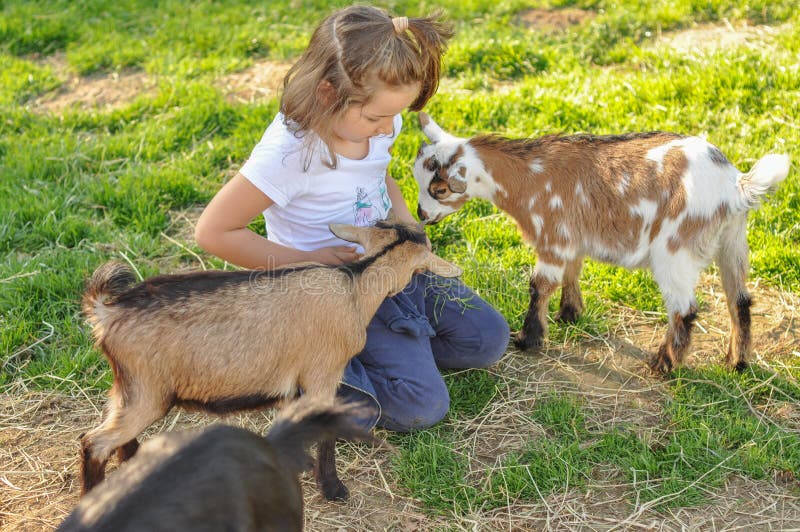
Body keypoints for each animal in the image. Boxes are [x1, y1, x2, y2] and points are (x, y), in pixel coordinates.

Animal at [79, 219, 461, 501]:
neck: (355, 283)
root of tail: (107, 312)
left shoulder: (291, 385)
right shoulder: (324, 375)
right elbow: (325, 432)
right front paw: (333, 489)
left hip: (127, 389)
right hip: (149, 393)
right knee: (94, 442)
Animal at [413, 112, 789, 373]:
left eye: (440, 189)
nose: (421, 213)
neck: (528, 177)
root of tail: (735, 185)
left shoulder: (552, 237)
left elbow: (540, 285)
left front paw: (529, 339)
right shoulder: (571, 237)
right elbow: (572, 272)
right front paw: (569, 315)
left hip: (674, 250)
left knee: (685, 309)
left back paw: (664, 364)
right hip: (732, 242)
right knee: (739, 301)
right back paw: (736, 363)